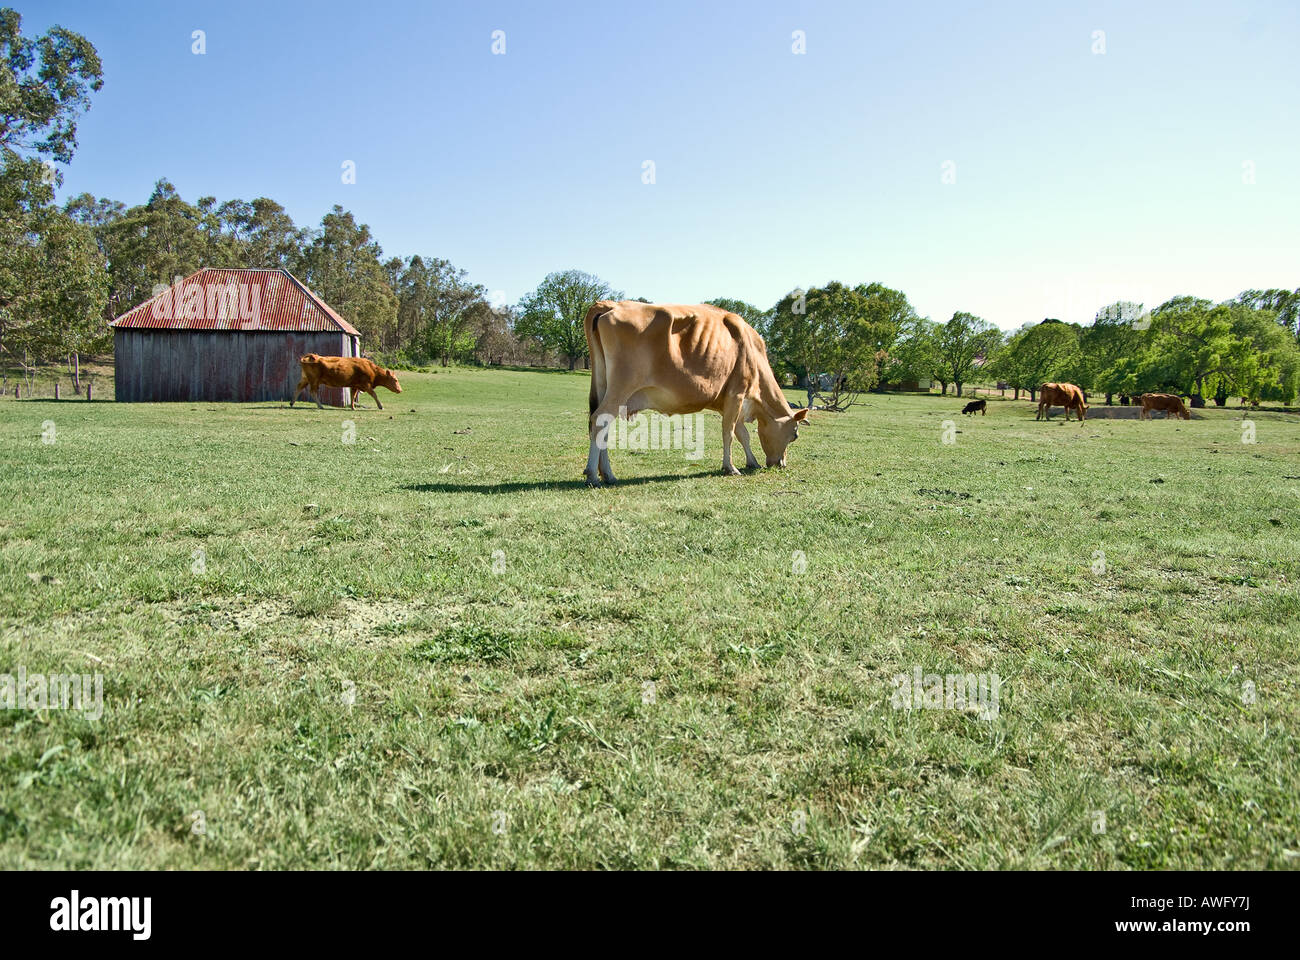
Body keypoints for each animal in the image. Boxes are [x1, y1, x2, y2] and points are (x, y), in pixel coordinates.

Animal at [583, 300, 808, 486]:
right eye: (795, 435)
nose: (781, 464)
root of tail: (609, 304)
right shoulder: (737, 393)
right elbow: (729, 432)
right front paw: (730, 467)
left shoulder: (728, 401)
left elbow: (742, 433)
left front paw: (752, 462)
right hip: (623, 386)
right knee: (600, 420)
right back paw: (594, 475)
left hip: (605, 385)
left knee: (602, 423)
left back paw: (607, 474)